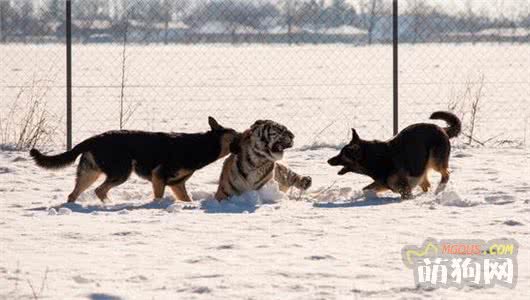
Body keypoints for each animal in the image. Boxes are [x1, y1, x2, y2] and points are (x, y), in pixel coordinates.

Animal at [29, 116, 240, 203]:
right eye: (237, 134)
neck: (201, 145)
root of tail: (94, 139)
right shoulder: (159, 176)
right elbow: (158, 197)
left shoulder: (177, 184)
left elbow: (186, 199)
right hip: (121, 172)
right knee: (99, 190)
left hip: (90, 173)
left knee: (74, 194)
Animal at [326, 111, 458, 198]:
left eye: (342, 154)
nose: (328, 161)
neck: (373, 157)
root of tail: (441, 128)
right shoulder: (384, 183)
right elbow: (366, 188)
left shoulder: (404, 189)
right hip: (420, 168)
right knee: (427, 184)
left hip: (435, 161)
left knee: (446, 174)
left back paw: (439, 189)